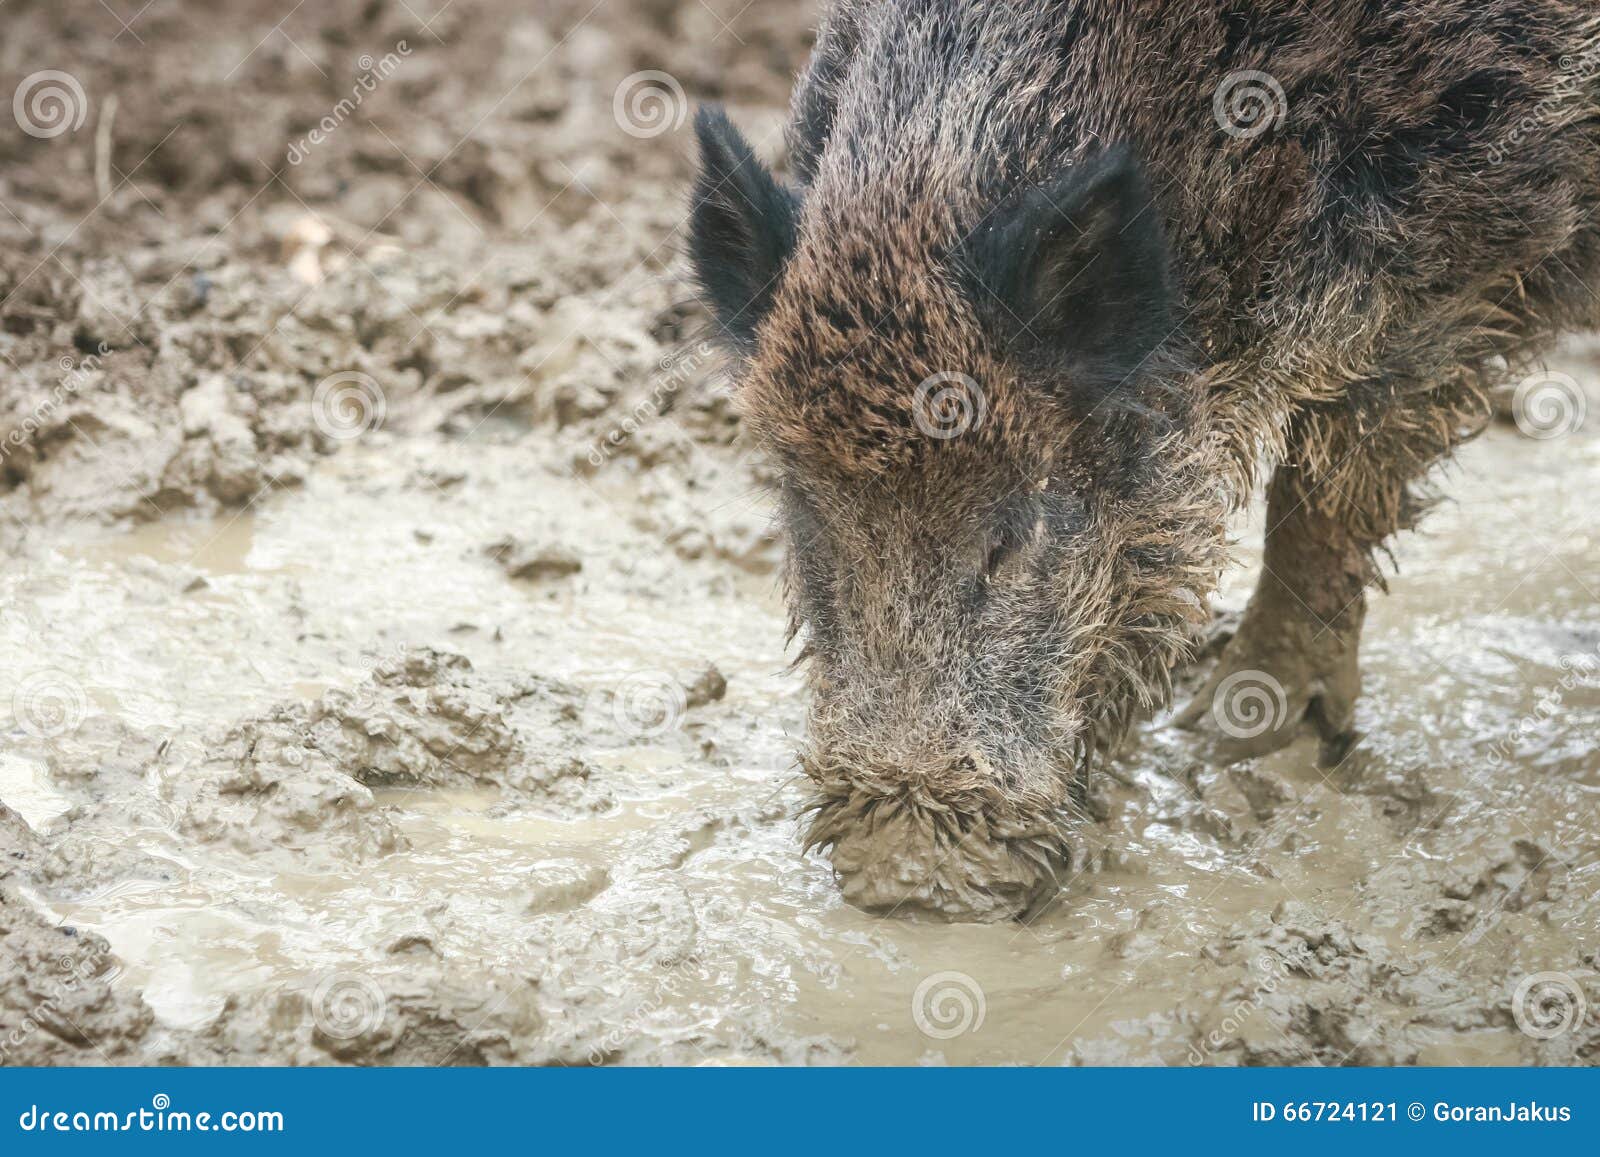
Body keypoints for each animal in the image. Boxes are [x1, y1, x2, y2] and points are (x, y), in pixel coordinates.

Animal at [687, 0, 1600, 920]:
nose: (900, 872)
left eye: (1011, 536)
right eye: (804, 514)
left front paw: (1235, 740)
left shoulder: (1468, 233)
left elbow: (1332, 484)